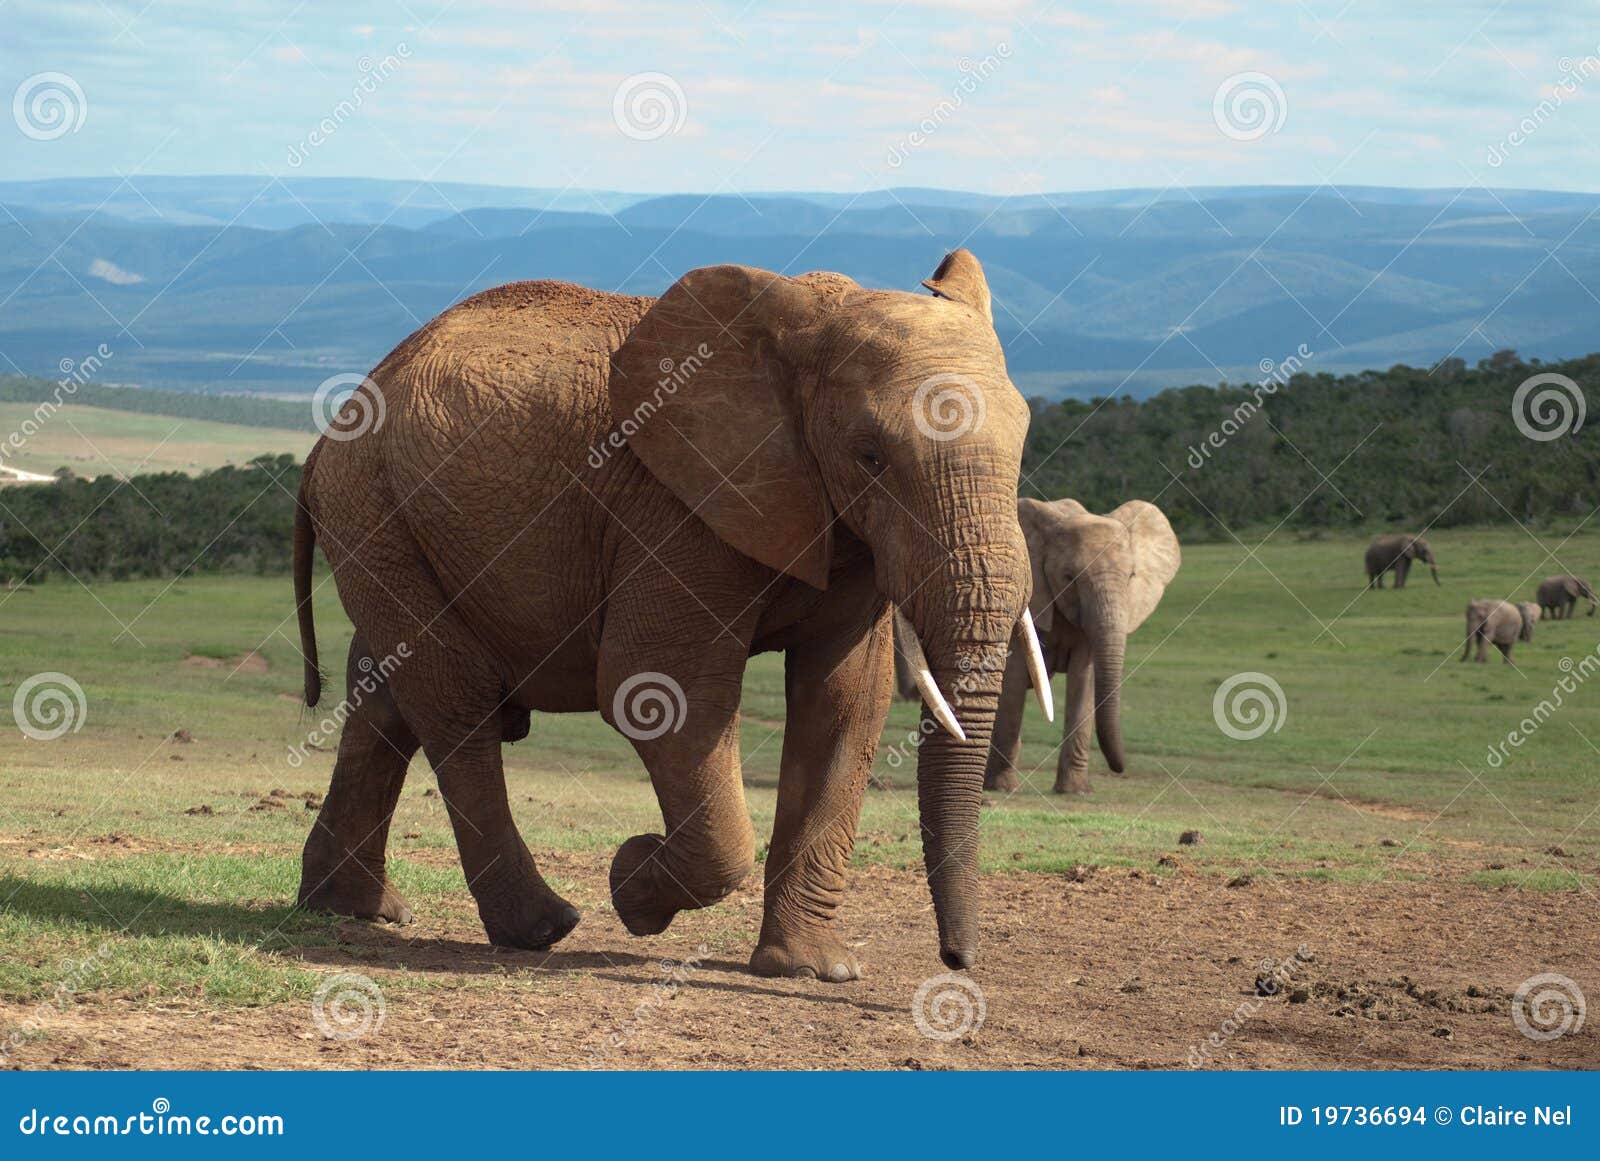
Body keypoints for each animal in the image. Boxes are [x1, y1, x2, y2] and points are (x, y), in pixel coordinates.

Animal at [291, 250, 1052, 980]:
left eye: (1023, 441)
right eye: (870, 457)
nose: (958, 960)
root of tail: (331, 432)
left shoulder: (844, 528)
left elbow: (842, 703)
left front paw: (814, 969)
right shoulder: (676, 507)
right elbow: (662, 688)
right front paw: (632, 882)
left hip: (388, 522)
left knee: (385, 694)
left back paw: (355, 908)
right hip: (374, 509)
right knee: (454, 702)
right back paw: (541, 927)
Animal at [983, 497, 1181, 795]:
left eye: (1131, 576)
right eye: (1069, 578)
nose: (1119, 768)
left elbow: (1084, 679)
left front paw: (1074, 791)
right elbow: (1014, 680)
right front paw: (1002, 788)